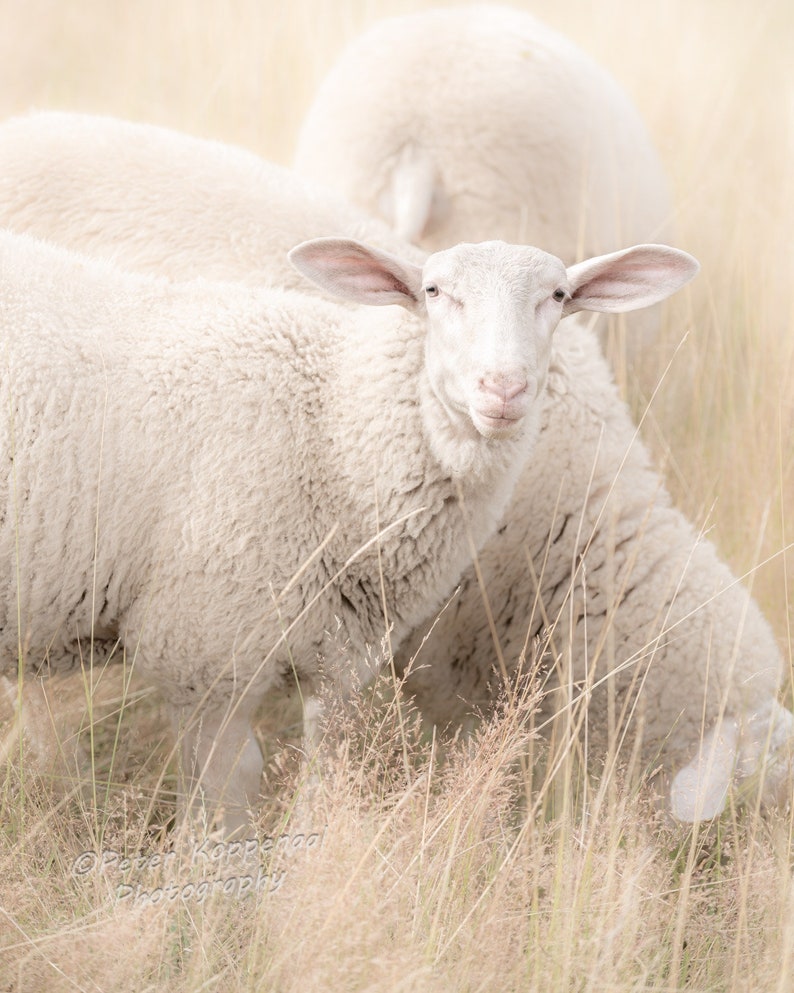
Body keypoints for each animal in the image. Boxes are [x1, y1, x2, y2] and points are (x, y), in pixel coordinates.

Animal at [0, 225, 695, 831]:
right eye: (433, 291)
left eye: (557, 296)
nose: (503, 388)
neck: (334, 422)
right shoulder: (205, 650)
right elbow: (229, 790)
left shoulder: (339, 656)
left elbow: (327, 776)